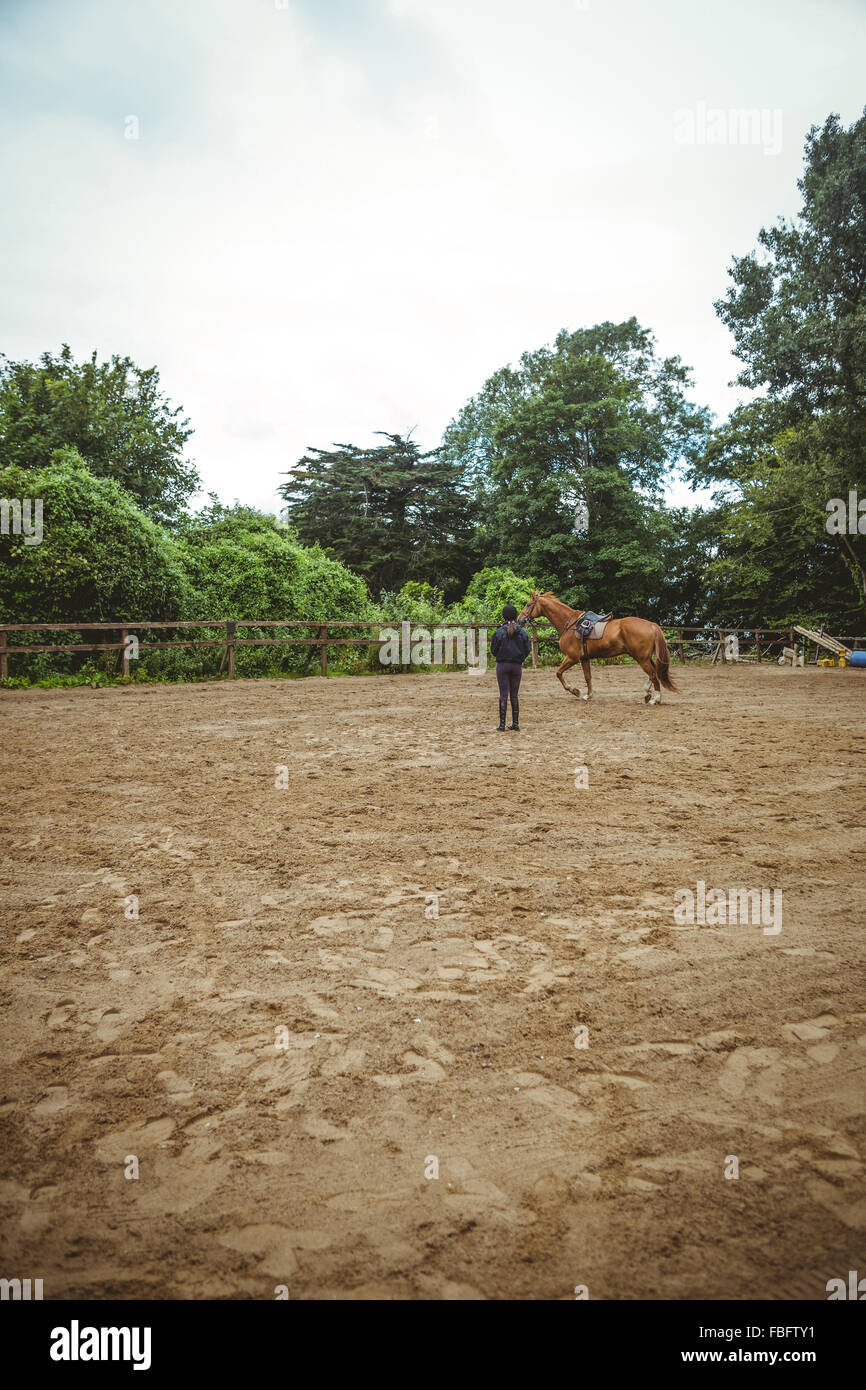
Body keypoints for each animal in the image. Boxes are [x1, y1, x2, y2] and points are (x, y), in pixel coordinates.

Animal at [516, 590, 678, 705]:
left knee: (654, 675)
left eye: (528, 605)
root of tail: (651, 625)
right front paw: (588, 695)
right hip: (645, 657)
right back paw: (647, 693)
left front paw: (575, 691)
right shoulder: (584, 658)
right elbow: (588, 677)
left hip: (641, 658)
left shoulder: (572, 658)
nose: (520, 619)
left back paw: (655, 698)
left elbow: (558, 673)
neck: (570, 624)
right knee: (653, 673)